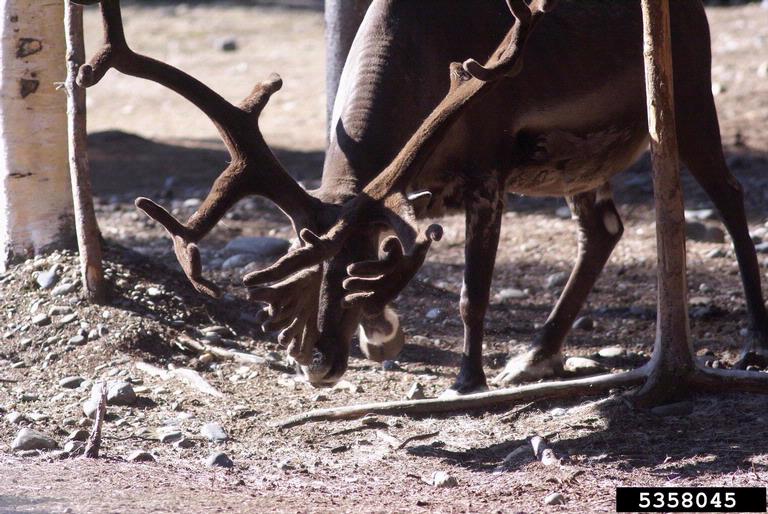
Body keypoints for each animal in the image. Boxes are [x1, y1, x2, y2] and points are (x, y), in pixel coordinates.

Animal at [77, 0, 768, 398]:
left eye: (358, 262)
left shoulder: (488, 172)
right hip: (575, 164)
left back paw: (754, 342)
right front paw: (377, 337)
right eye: (311, 258)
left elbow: (472, 292)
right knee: (602, 230)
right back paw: (535, 354)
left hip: (687, 92)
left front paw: (466, 378)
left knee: (731, 197)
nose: (318, 362)